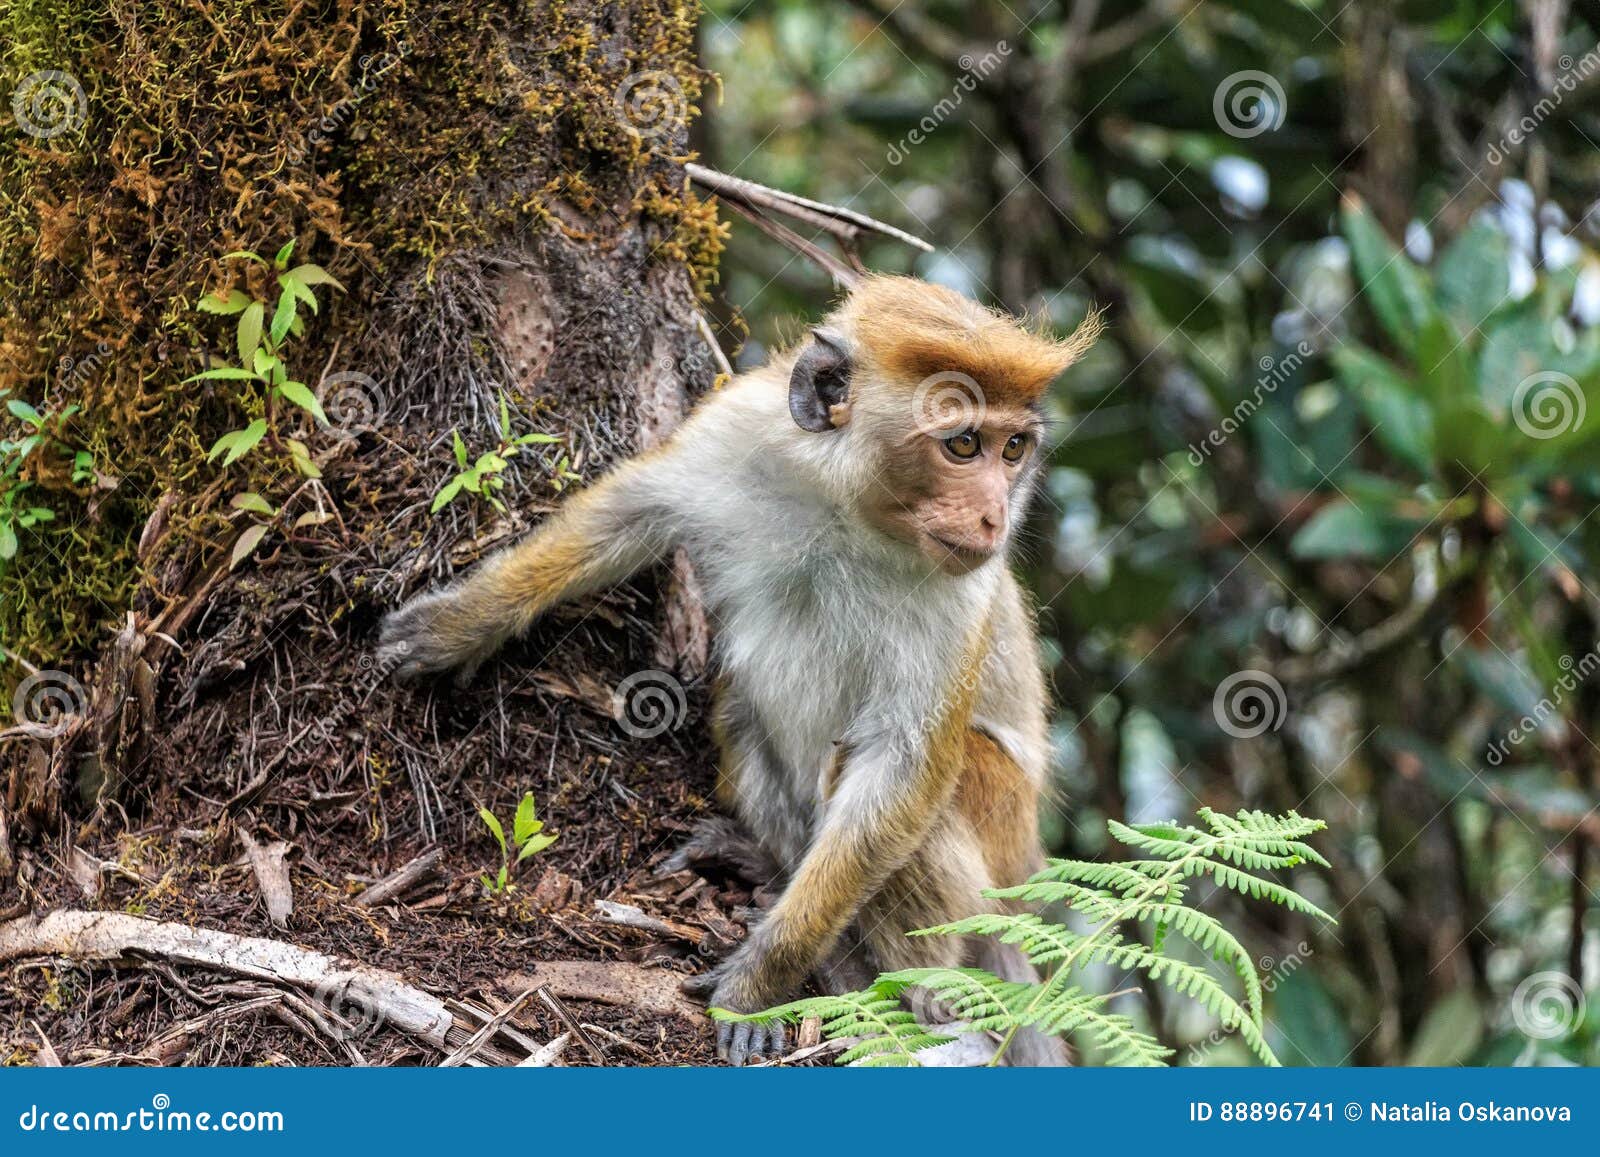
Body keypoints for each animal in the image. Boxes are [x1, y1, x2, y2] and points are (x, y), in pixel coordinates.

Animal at [378, 275, 1101, 1065]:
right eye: (964, 444)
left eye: (1014, 448)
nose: (995, 517)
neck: (849, 509)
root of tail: (1024, 870)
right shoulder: (740, 425)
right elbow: (628, 511)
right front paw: (460, 621)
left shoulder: (962, 588)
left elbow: (903, 763)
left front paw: (761, 979)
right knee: (740, 702)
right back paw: (770, 866)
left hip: (1000, 829)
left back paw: (901, 981)